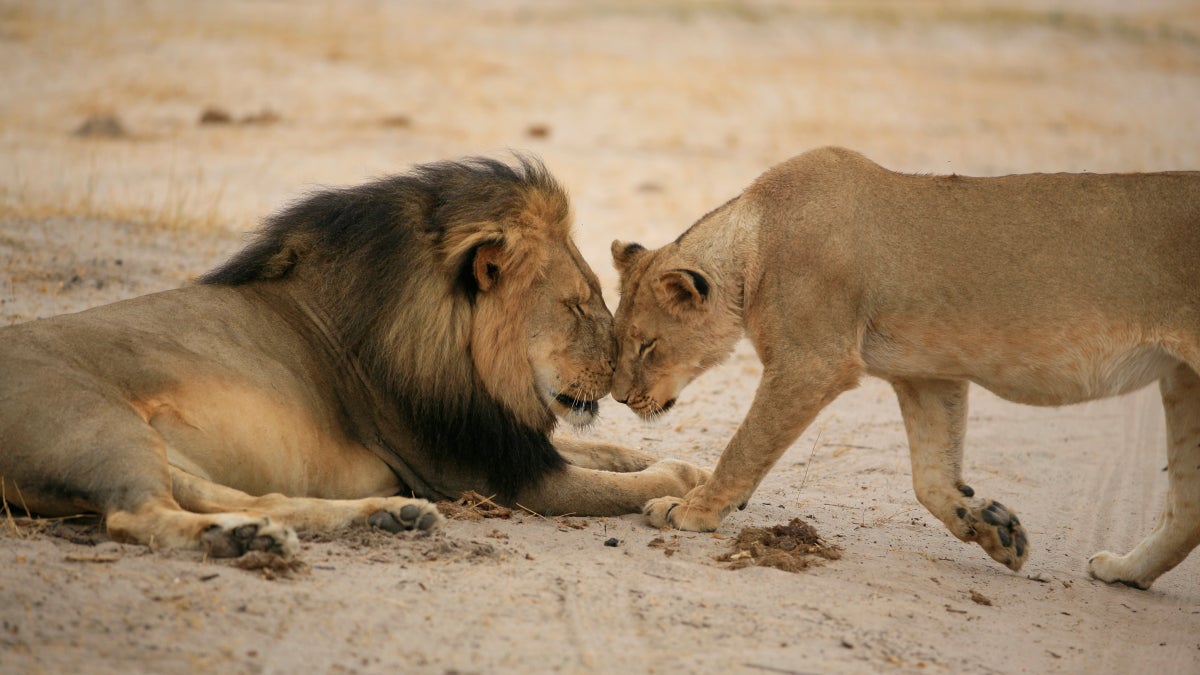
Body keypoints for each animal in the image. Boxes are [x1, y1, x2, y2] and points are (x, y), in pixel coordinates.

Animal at [0, 155, 708, 558]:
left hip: (156, 449)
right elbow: (621, 481)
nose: (621, 375)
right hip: (99, 424)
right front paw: (678, 480)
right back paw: (235, 541)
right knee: (136, 516)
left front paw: (680, 463)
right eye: (579, 305)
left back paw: (377, 519)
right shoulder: (494, 477)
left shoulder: (499, 437)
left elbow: (605, 451)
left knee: (256, 499)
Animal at [610, 146, 1200, 590]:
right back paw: (1125, 571)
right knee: (1188, 504)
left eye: (646, 346)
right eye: (617, 341)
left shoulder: (813, 362)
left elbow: (745, 445)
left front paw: (691, 509)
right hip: (1183, 381)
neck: (754, 242)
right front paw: (995, 529)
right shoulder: (927, 376)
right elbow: (931, 478)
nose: (618, 398)